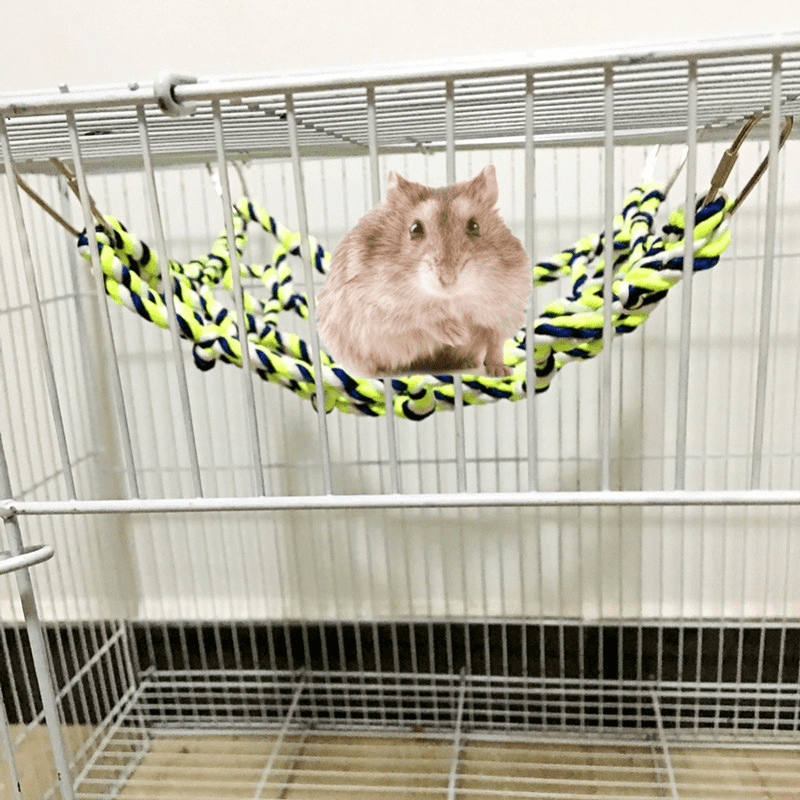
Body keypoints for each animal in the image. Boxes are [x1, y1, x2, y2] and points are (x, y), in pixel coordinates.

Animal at [316, 164, 531, 378]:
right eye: (415, 229)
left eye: (474, 225)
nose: (448, 279)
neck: (451, 299)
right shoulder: (377, 304)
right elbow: (421, 316)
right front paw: (457, 333)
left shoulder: (504, 310)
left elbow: (495, 343)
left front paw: (500, 371)